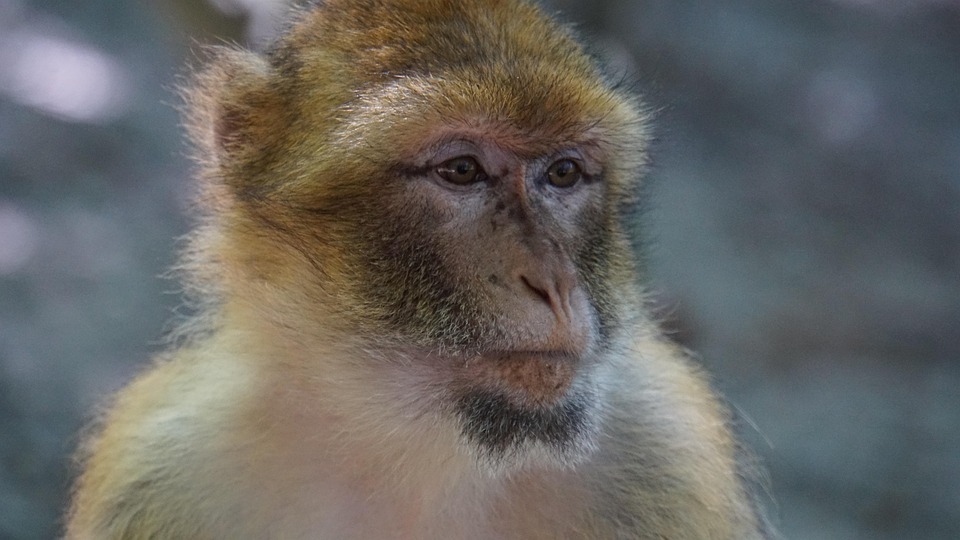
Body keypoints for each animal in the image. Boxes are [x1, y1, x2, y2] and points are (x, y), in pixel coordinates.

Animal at [66, 0, 773, 538]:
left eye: (564, 173)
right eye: (460, 170)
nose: (553, 283)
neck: (417, 452)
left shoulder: (666, 452)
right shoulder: (161, 473)